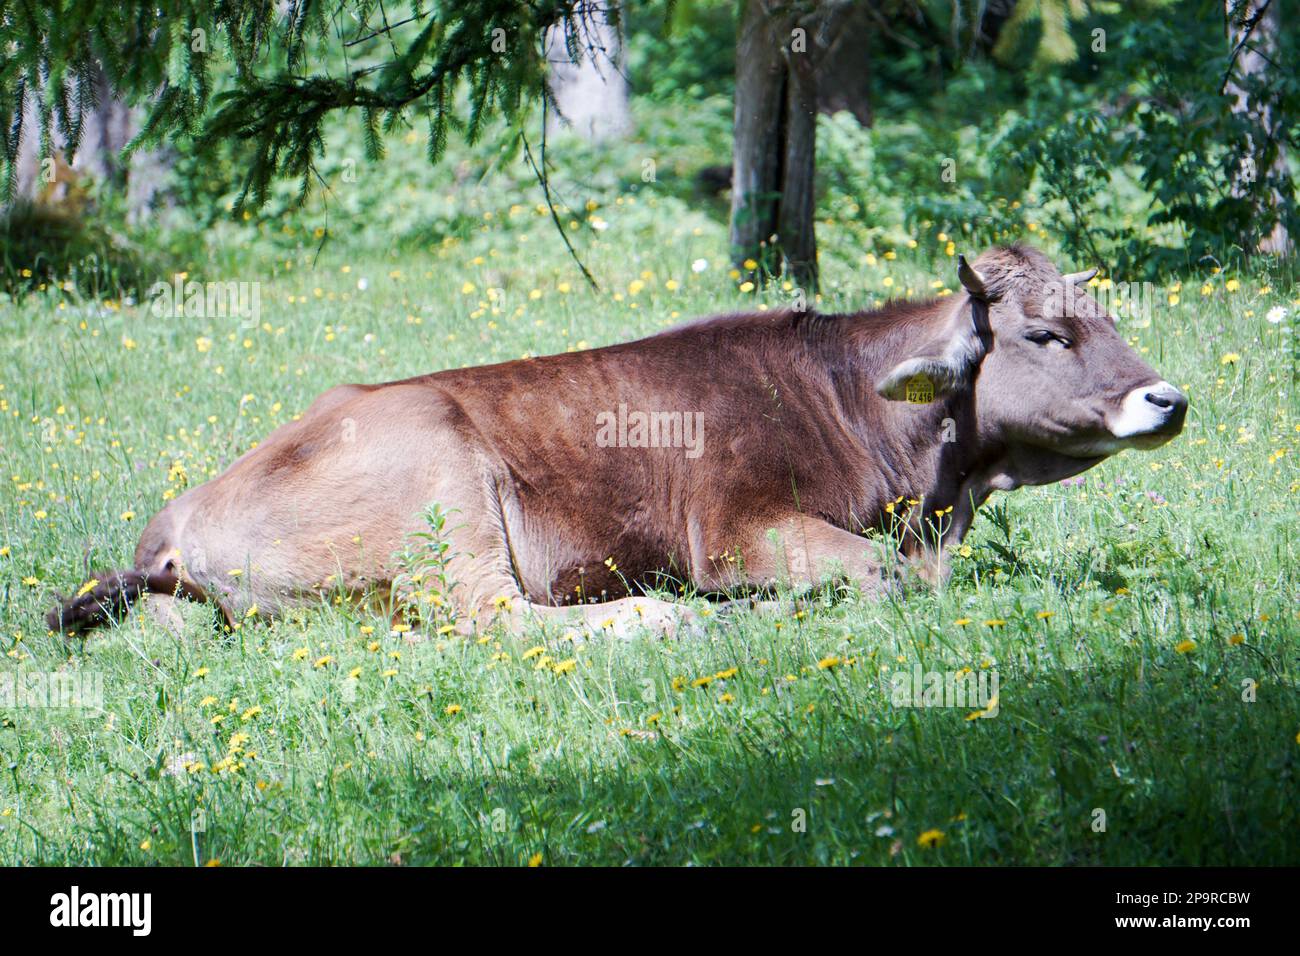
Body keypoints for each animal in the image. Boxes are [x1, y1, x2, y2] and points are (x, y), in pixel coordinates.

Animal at [48, 244, 1187, 639]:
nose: (1165, 399)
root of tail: (177, 520)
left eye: (1106, 316)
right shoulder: (735, 530)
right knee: (493, 624)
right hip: (447, 489)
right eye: (1045, 334)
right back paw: (660, 617)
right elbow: (873, 576)